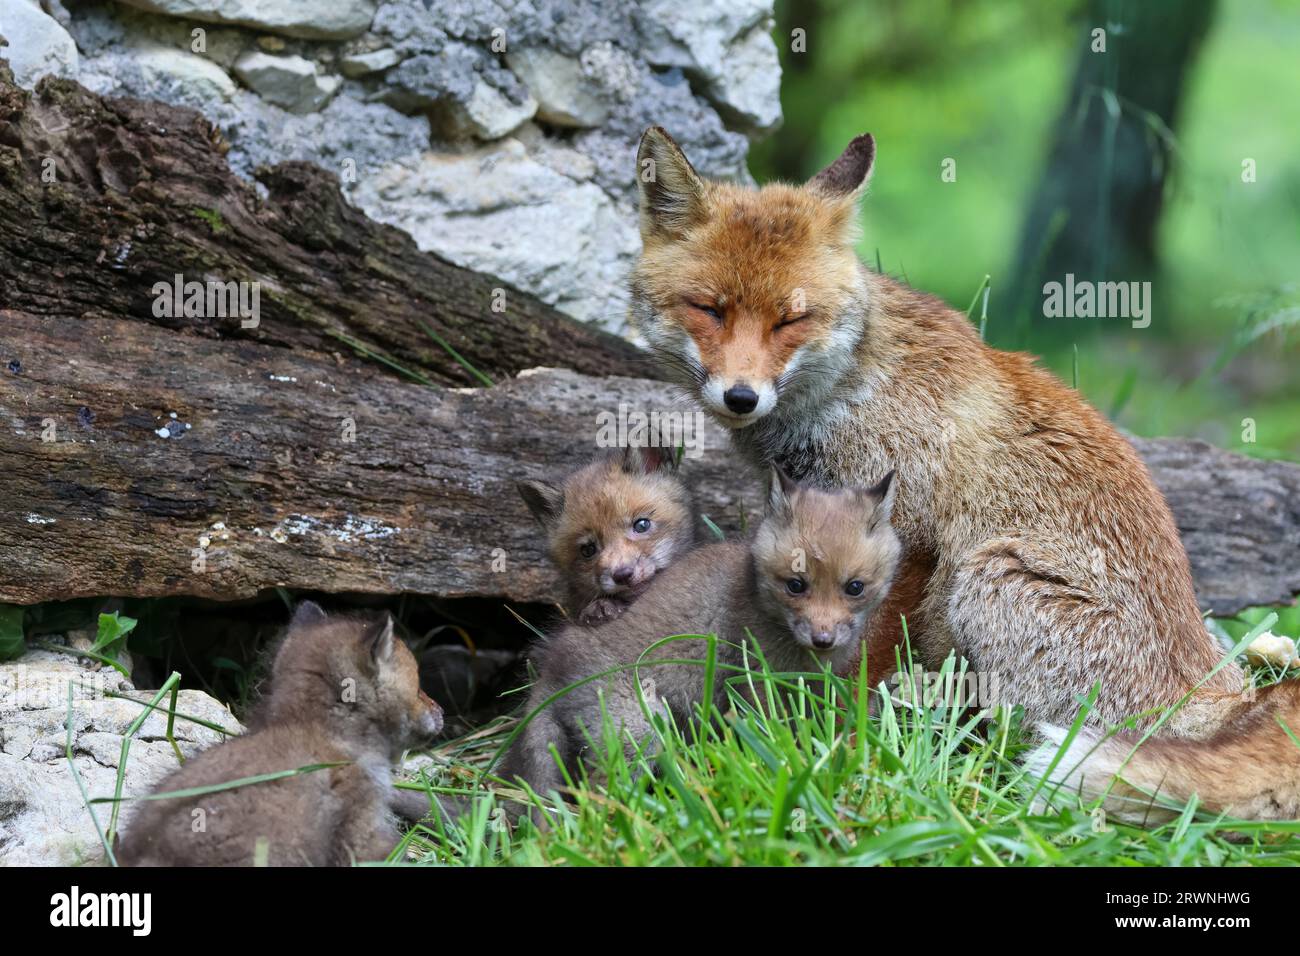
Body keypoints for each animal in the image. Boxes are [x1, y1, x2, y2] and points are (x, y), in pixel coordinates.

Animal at [499, 468, 900, 804]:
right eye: (796, 585)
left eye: (855, 588)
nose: (823, 639)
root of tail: (555, 665)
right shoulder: (753, 681)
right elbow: (774, 735)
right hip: (641, 728)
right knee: (600, 789)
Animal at [629, 125, 1300, 823]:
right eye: (709, 309)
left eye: (792, 319)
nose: (741, 397)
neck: (847, 388)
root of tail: (1208, 697)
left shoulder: (904, 538)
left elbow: (856, 662)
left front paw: (837, 741)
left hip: (988, 576)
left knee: (1007, 730)